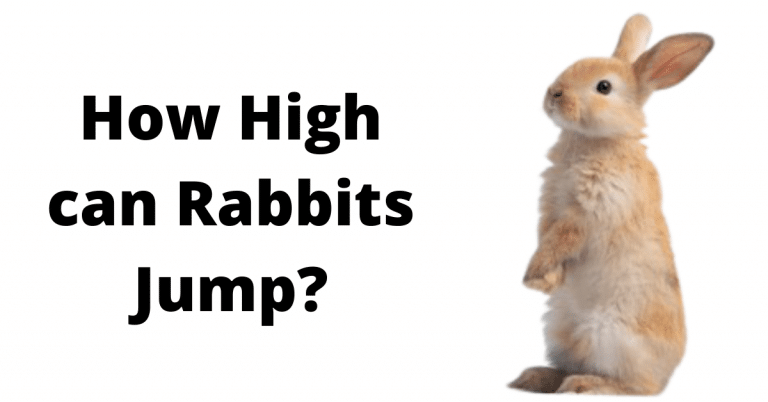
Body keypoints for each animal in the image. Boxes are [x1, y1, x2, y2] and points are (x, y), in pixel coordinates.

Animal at [509, 14, 713, 395]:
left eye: (604, 87)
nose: (554, 93)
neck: (593, 141)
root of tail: (669, 370)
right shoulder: (550, 207)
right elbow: (547, 236)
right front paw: (547, 282)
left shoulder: (587, 212)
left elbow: (561, 239)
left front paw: (533, 277)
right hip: (560, 329)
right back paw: (535, 377)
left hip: (613, 336)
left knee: (638, 387)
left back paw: (584, 385)